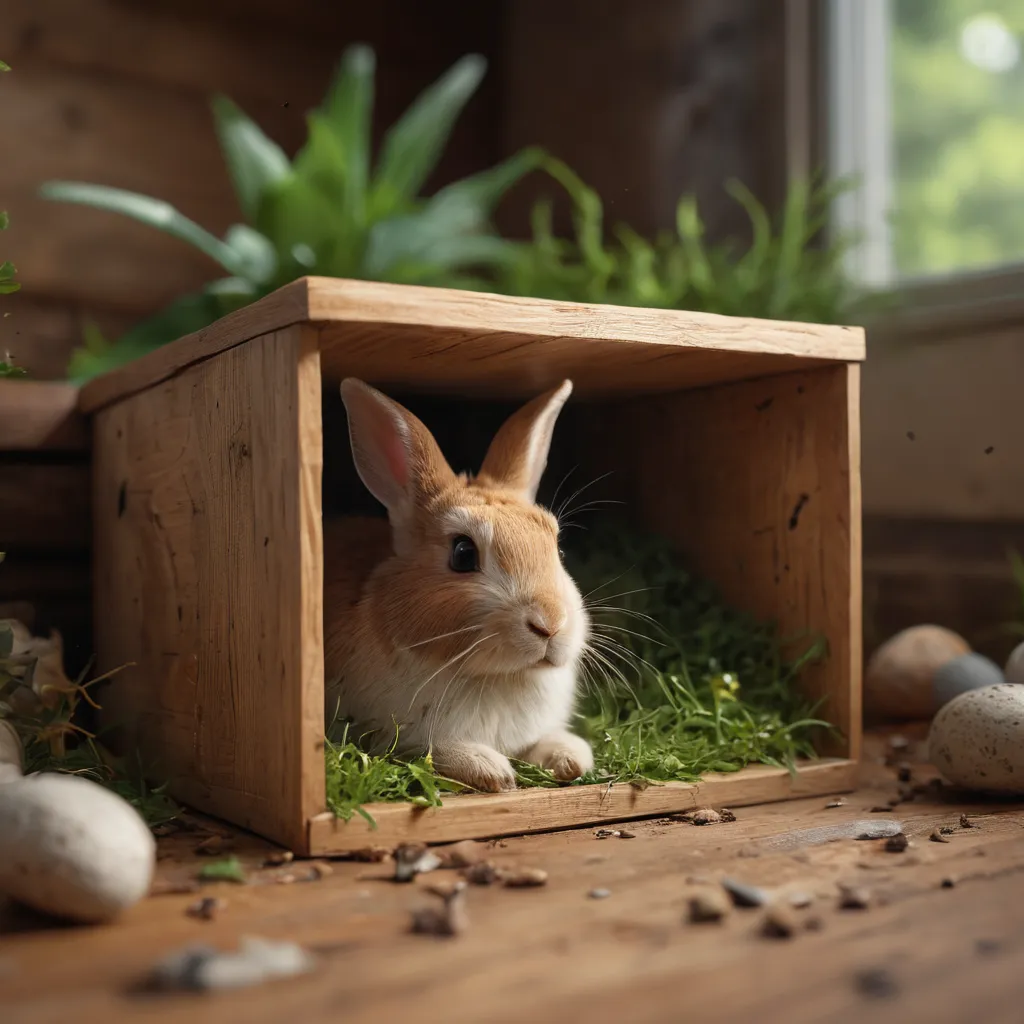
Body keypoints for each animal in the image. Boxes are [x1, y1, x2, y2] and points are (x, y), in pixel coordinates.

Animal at [323, 377, 593, 793]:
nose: (550, 623)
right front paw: (491, 771)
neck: (498, 678)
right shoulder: (397, 737)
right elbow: (428, 751)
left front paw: (572, 758)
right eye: (463, 554)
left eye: (558, 547)